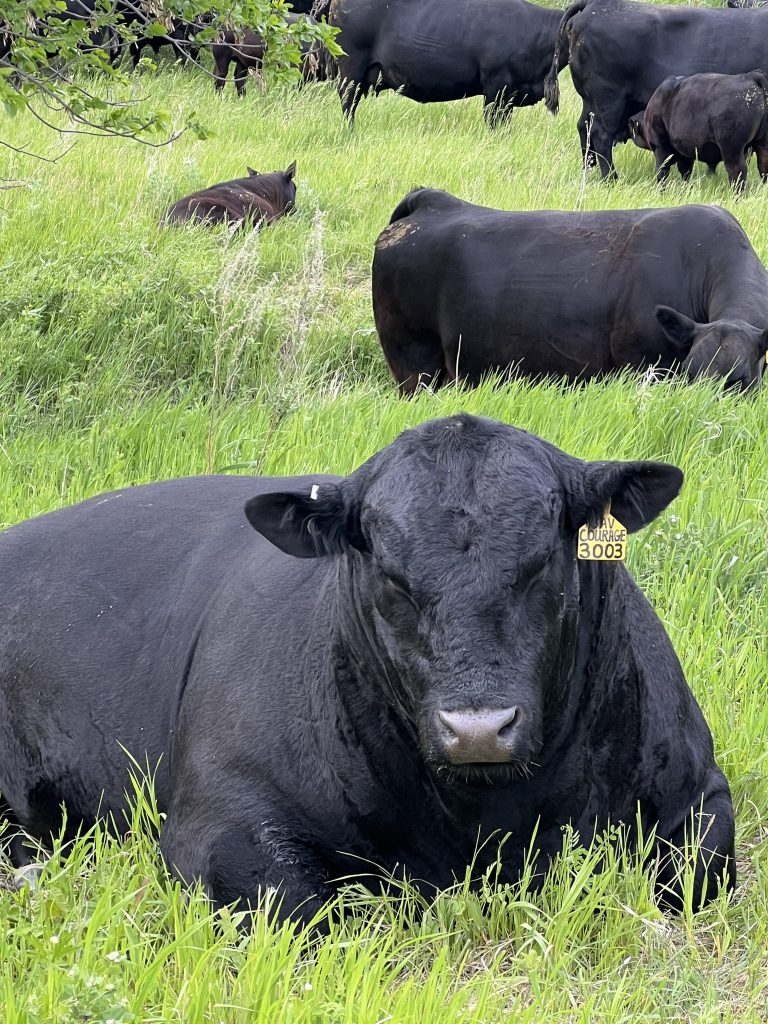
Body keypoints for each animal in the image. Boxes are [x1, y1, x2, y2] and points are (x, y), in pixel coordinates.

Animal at [0, 415, 735, 923]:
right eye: (389, 572)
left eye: (542, 561)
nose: (477, 728)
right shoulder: (219, 816)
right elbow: (296, 911)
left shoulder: (696, 790)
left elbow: (701, 875)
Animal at [627, 71, 768, 189]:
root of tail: (749, 75)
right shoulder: (685, 153)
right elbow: (685, 172)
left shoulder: (661, 149)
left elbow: (662, 172)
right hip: (761, 146)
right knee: (763, 168)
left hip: (732, 149)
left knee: (737, 172)